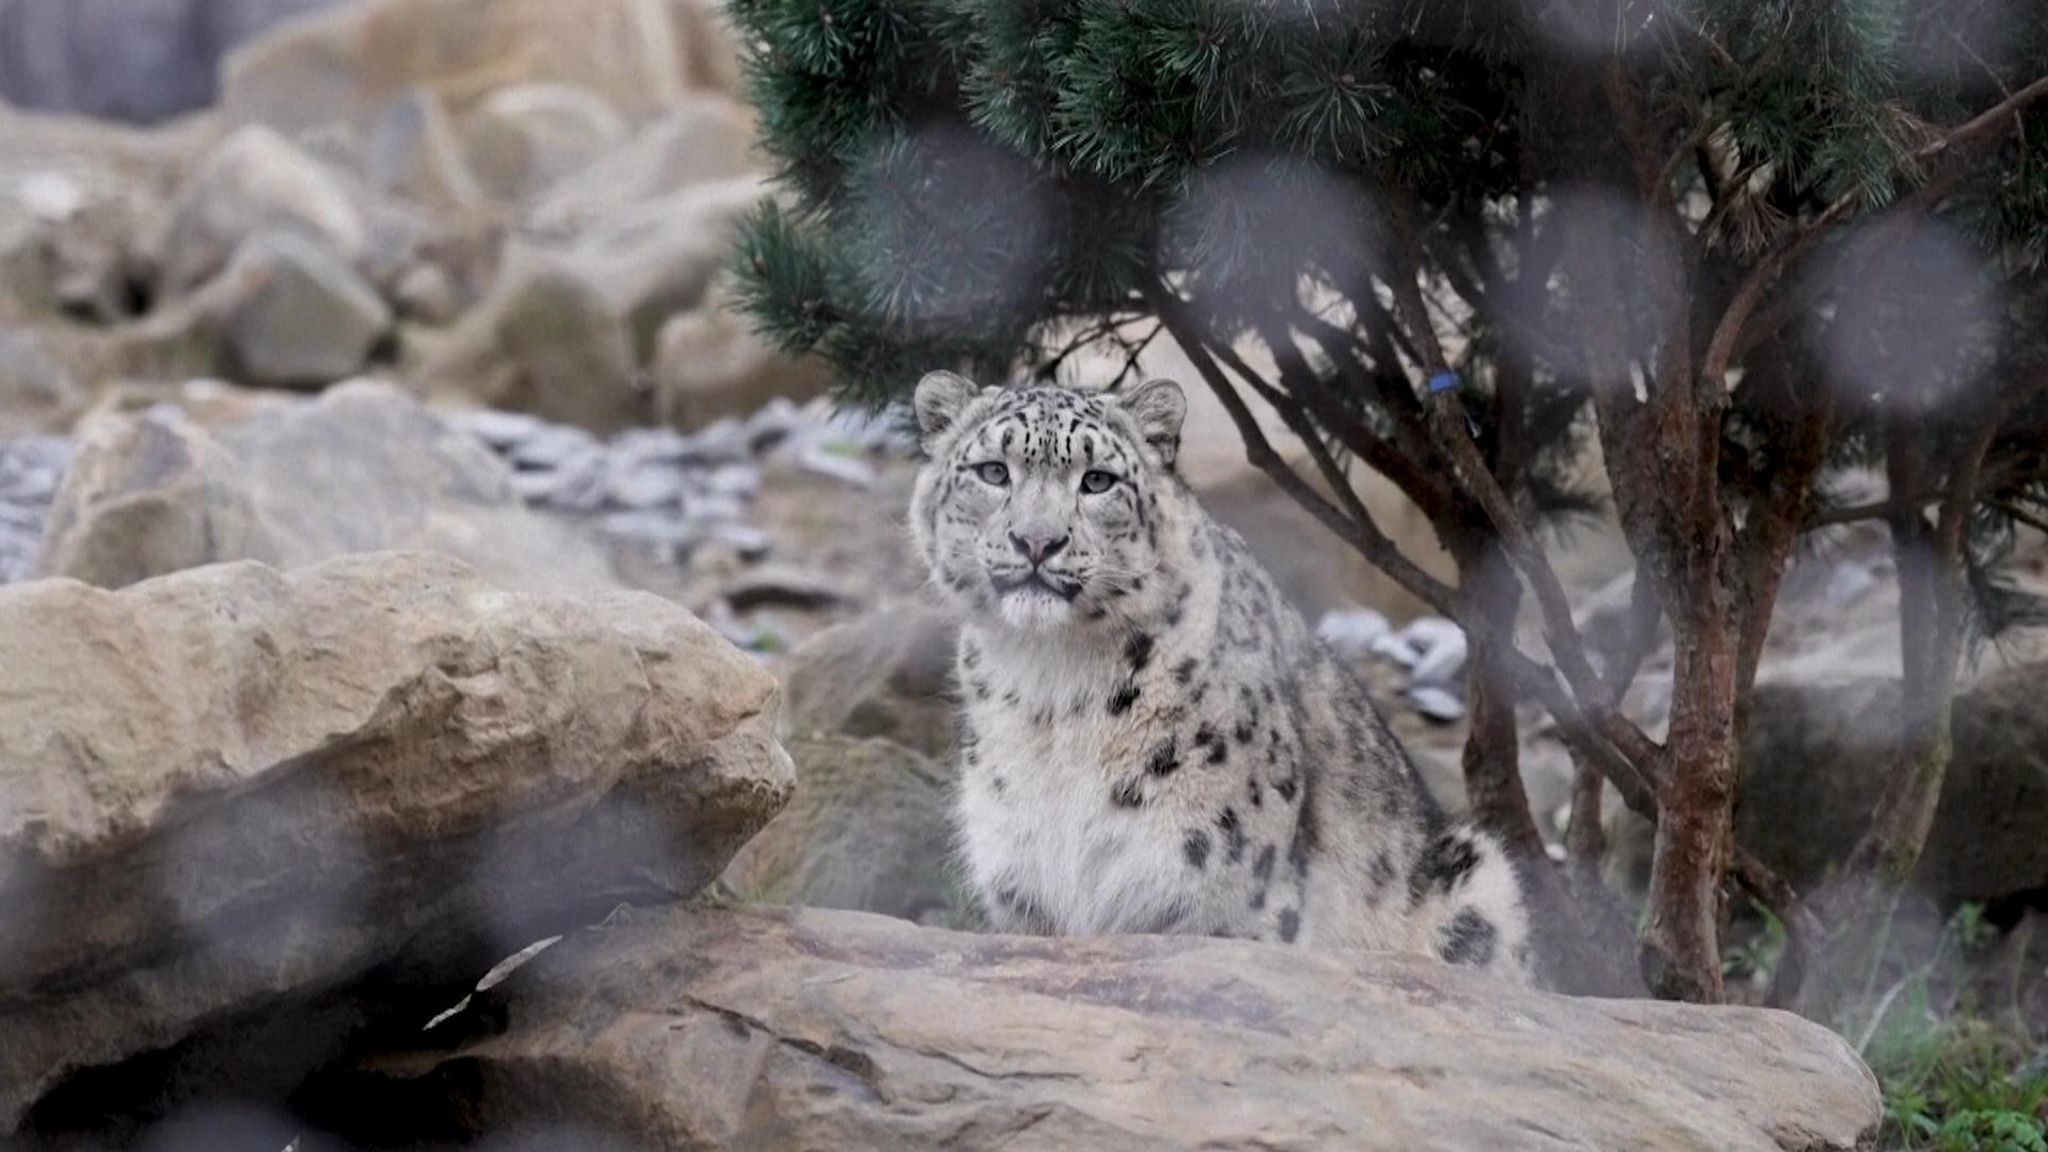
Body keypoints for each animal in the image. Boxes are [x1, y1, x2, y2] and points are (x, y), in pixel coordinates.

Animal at [908, 370, 1531, 980]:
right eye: (993, 471)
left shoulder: (1224, 896)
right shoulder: (1022, 886)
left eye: (1097, 481)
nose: (1037, 541)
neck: (1051, 689)